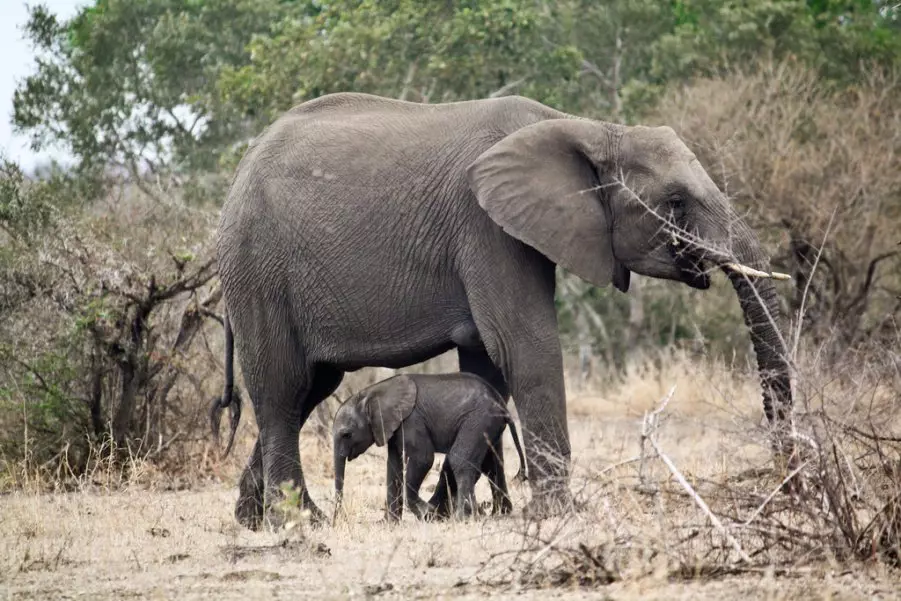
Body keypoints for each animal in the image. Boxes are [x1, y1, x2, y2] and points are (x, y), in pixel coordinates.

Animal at [332, 370, 528, 520]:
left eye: (346, 434)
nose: (336, 520)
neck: (372, 393)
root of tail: (502, 405)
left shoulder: (412, 421)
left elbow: (423, 459)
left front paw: (426, 513)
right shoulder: (393, 427)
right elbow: (393, 467)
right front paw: (390, 524)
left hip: (478, 420)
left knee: (459, 461)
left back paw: (462, 518)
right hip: (489, 426)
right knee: (492, 465)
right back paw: (498, 513)